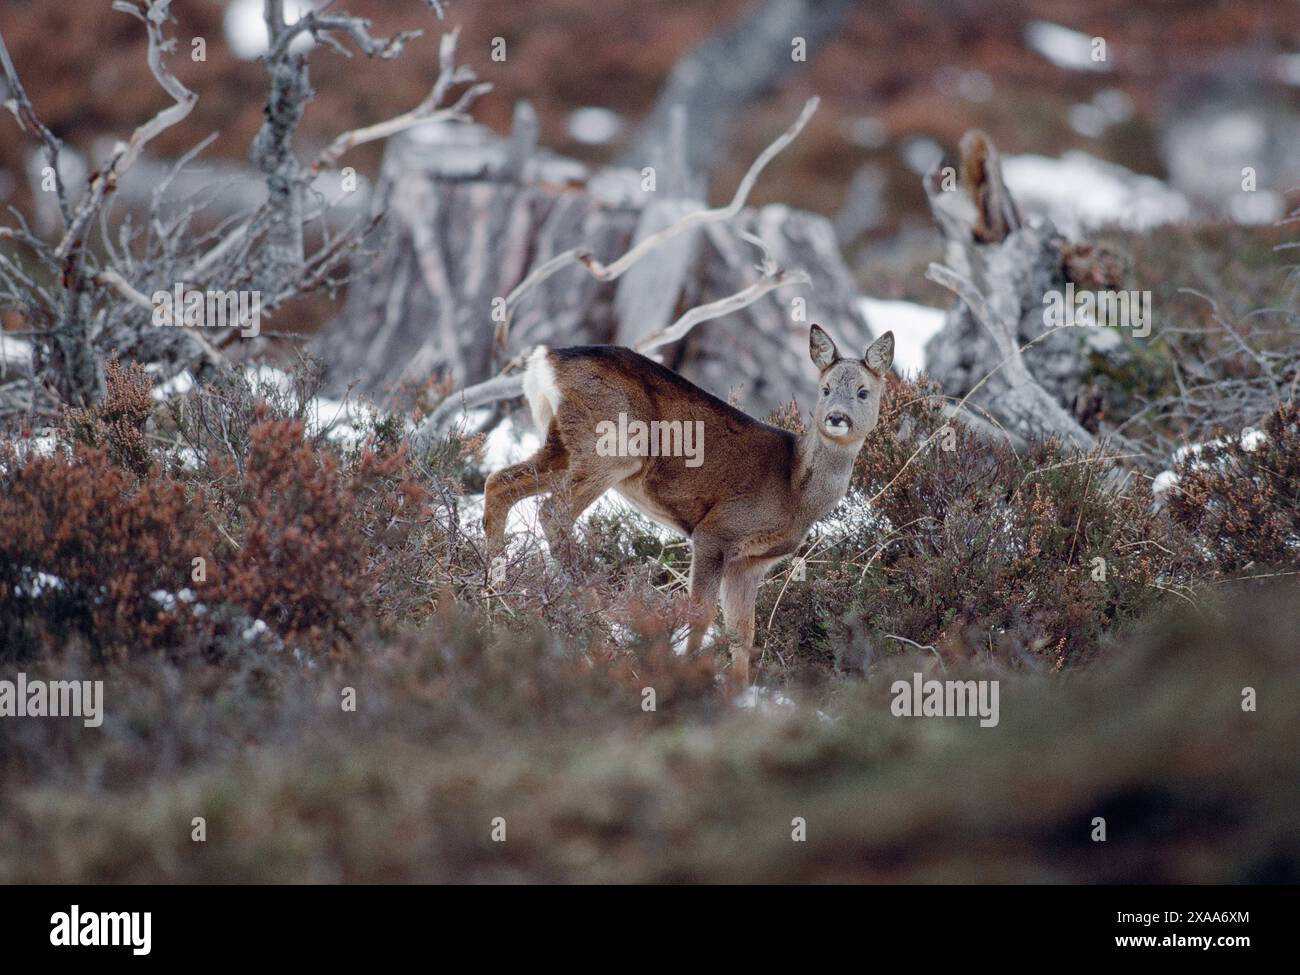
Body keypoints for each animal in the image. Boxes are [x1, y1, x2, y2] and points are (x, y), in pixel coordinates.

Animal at [483, 324, 895, 688]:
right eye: (825, 388)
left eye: (863, 392)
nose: (836, 417)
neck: (796, 492)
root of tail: (545, 361)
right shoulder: (717, 531)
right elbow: (701, 613)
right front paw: (689, 674)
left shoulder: (750, 563)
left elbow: (742, 634)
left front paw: (739, 693)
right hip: (611, 448)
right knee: (552, 513)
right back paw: (598, 629)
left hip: (563, 445)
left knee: (499, 483)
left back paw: (496, 591)